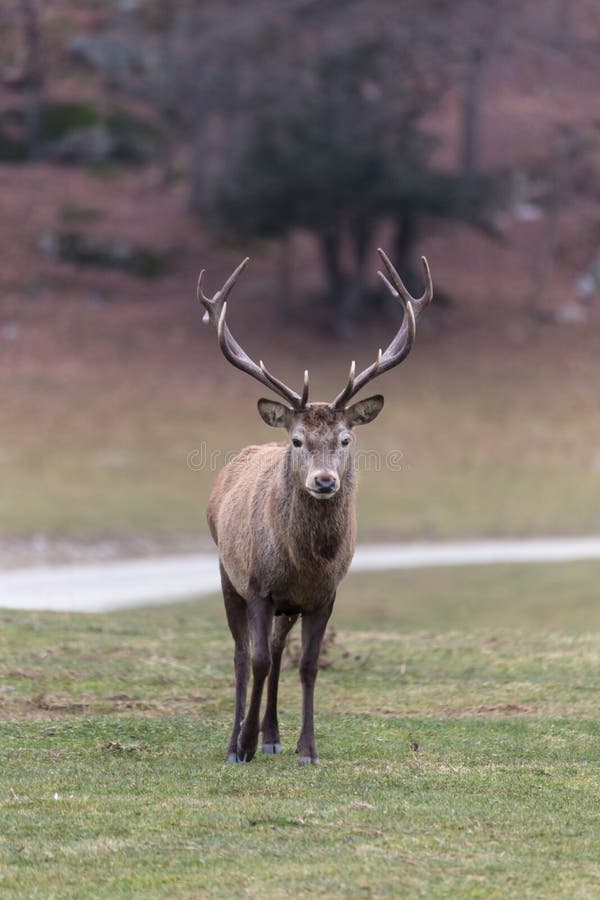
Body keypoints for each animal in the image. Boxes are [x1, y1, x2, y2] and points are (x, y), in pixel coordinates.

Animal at [197, 249, 433, 764]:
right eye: (298, 440)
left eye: (345, 439)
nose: (324, 481)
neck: (305, 562)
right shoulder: (259, 584)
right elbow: (258, 660)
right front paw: (243, 744)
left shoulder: (325, 594)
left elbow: (306, 665)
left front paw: (307, 748)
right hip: (227, 573)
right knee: (244, 655)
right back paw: (238, 740)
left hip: (288, 606)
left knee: (277, 649)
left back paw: (272, 736)